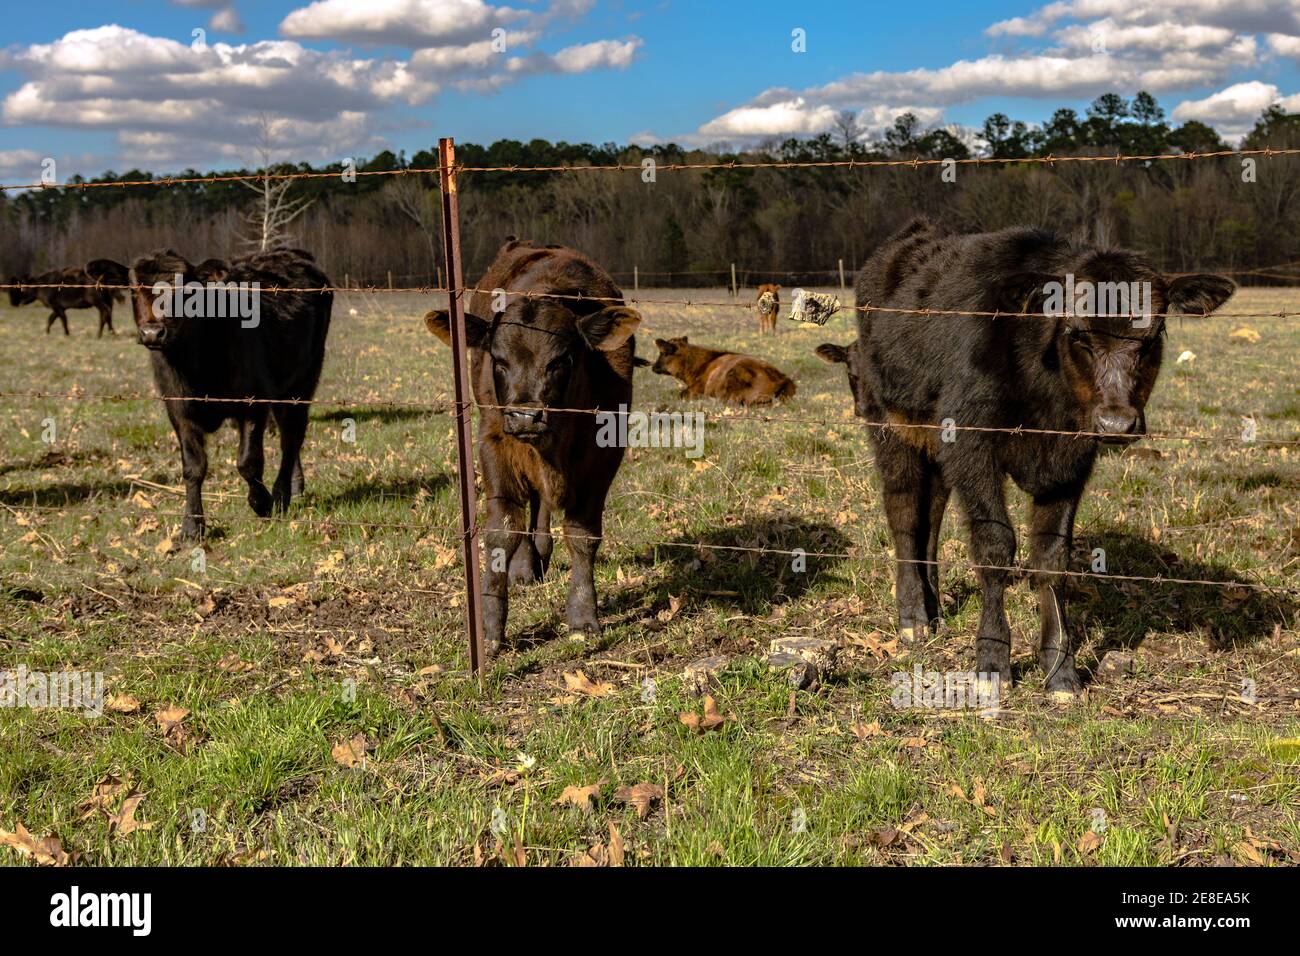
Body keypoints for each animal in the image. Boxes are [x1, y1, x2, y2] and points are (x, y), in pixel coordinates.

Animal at [129, 248, 332, 541]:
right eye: (133, 290)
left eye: (184, 290)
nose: (152, 333)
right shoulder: (178, 410)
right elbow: (193, 468)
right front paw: (192, 525)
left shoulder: (253, 402)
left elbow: (248, 462)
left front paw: (262, 503)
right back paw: (295, 485)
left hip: (303, 381)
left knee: (291, 437)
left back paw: (283, 494)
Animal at [422, 237, 641, 656]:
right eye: (498, 359)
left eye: (561, 359)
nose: (526, 416)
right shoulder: (494, 443)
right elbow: (503, 529)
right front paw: (491, 625)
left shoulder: (605, 453)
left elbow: (582, 534)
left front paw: (583, 615)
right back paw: (526, 565)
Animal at [845, 217, 1234, 693]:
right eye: (1077, 332)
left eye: (1151, 335)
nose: (1116, 424)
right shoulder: (972, 445)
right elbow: (995, 547)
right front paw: (992, 659)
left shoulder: (1071, 462)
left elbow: (1051, 558)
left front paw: (1060, 669)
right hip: (887, 422)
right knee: (902, 512)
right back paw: (914, 617)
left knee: (931, 513)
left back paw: (934, 606)